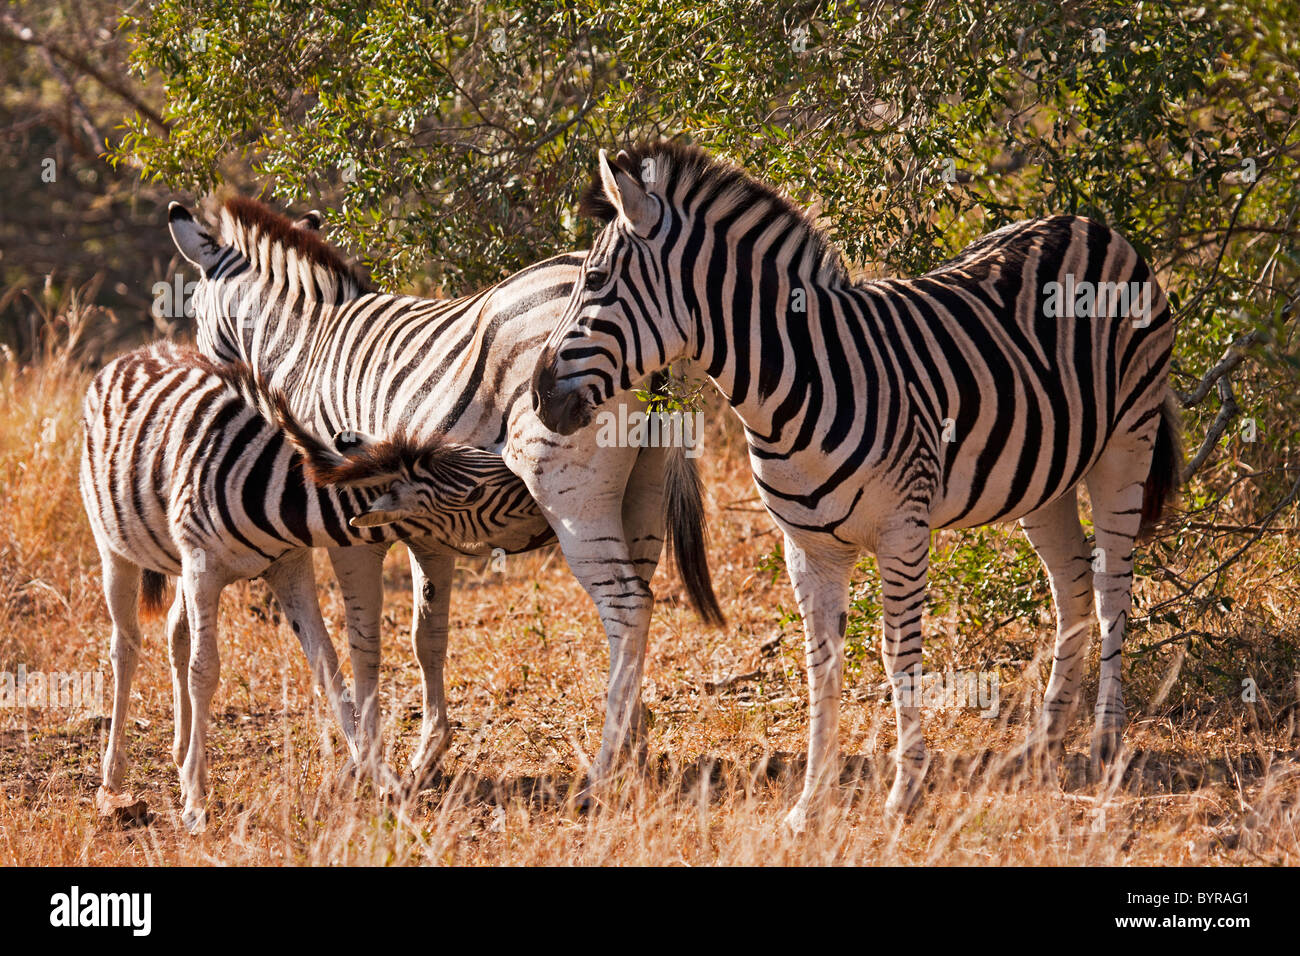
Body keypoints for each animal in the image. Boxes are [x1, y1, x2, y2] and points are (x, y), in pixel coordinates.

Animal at [81, 340, 551, 831]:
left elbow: (327, 664)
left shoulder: (287, 566)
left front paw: (382, 777)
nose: (545, 506)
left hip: (178, 562)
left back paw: (178, 751)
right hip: (113, 546)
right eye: (473, 495)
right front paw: (194, 800)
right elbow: (204, 671)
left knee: (176, 633)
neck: (277, 497)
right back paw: (113, 777)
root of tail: (137, 352)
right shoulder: (202, 567)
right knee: (125, 646)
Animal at [164, 196, 722, 794]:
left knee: (625, 604)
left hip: (572, 494)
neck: (305, 351)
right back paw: (635, 750)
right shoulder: (427, 530)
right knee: (637, 607)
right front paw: (427, 755)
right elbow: (425, 635)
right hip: (642, 489)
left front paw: (368, 762)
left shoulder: (350, 529)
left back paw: (604, 766)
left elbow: (364, 639)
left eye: (195, 323)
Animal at [532, 142, 1180, 828]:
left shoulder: (903, 533)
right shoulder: (807, 548)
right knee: (1072, 586)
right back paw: (1044, 742)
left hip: (1127, 440)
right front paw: (811, 803)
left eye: (596, 282)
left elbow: (898, 657)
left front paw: (905, 793)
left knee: (1112, 586)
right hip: (1044, 473)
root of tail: (1090, 224)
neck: (793, 387)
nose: (539, 397)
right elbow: (821, 666)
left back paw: (1106, 744)